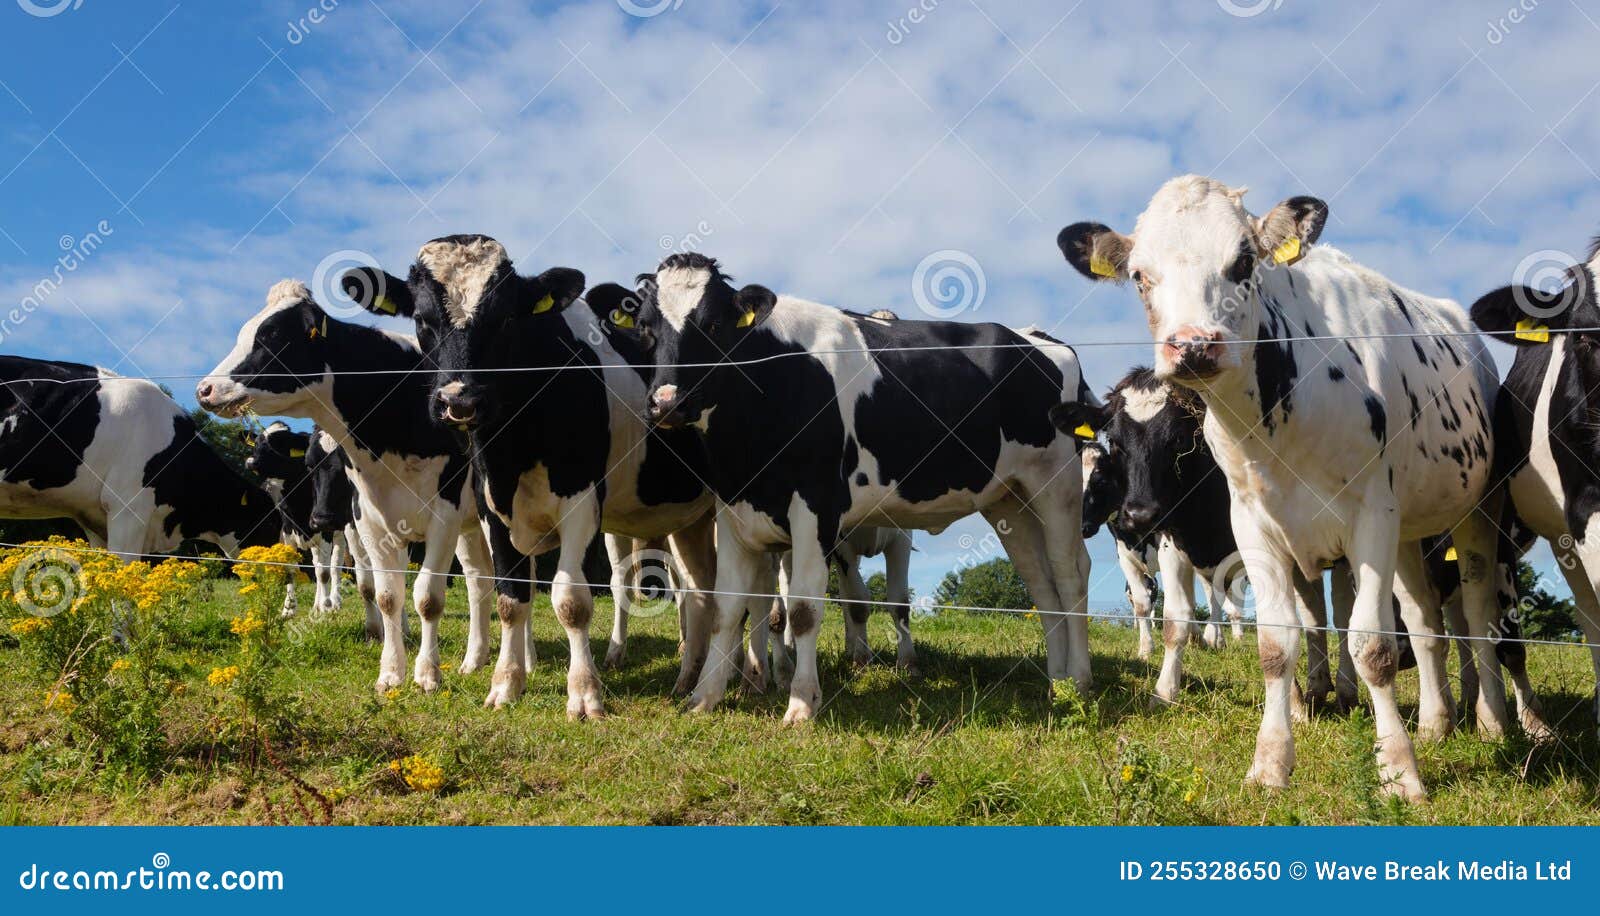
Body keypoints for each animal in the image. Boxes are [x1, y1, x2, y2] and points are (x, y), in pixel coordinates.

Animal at [197, 279, 506, 695]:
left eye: (271, 335)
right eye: (309, 465)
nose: (205, 389)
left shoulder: (445, 511)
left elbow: (428, 597)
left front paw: (427, 674)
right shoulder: (370, 518)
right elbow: (386, 594)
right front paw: (390, 673)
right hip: (469, 528)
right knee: (478, 580)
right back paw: (474, 660)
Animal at [339, 241, 718, 718]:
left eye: (504, 319)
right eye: (422, 320)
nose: (459, 399)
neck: (513, 445)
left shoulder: (582, 501)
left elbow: (571, 600)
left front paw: (584, 694)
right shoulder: (492, 508)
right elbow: (510, 599)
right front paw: (506, 684)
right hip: (690, 519)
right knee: (701, 590)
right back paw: (691, 677)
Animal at [628, 252, 1094, 723]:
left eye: (713, 324)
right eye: (646, 328)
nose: (667, 402)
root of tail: (1041, 340)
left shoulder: (817, 507)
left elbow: (803, 610)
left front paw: (801, 704)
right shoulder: (734, 509)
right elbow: (725, 608)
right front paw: (702, 698)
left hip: (1057, 484)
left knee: (1070, 575)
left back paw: (1080, 680)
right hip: (1010, 500)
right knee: (1041, 583)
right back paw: (1056, 683)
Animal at [1058, 175, 1508, 800]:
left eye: (1244, 261)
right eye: (1140, 275)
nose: (1191, 344)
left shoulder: (1371, 514)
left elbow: (1371, 644)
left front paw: (1399, 771)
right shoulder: (1253, 524)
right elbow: (1275, 644)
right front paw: (1271, 762)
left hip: (1475, 510)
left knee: (1478, 616)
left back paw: (1492, 722)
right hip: (1408, 530)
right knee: (1425, 625)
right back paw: (1436, 722)